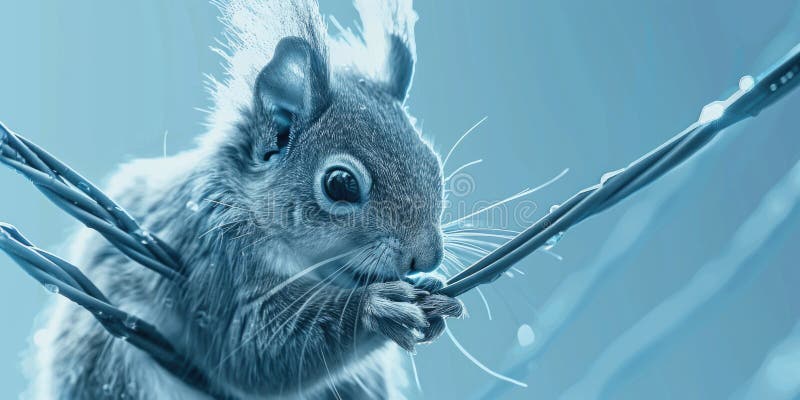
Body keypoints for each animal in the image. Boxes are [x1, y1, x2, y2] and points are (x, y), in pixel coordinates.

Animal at [26, 0, 465, 399]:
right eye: (340, 184)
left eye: (432, 164)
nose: (428, 257)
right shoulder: (212, 253)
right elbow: (249, 348)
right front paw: (376, 307)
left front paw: (430, 287)